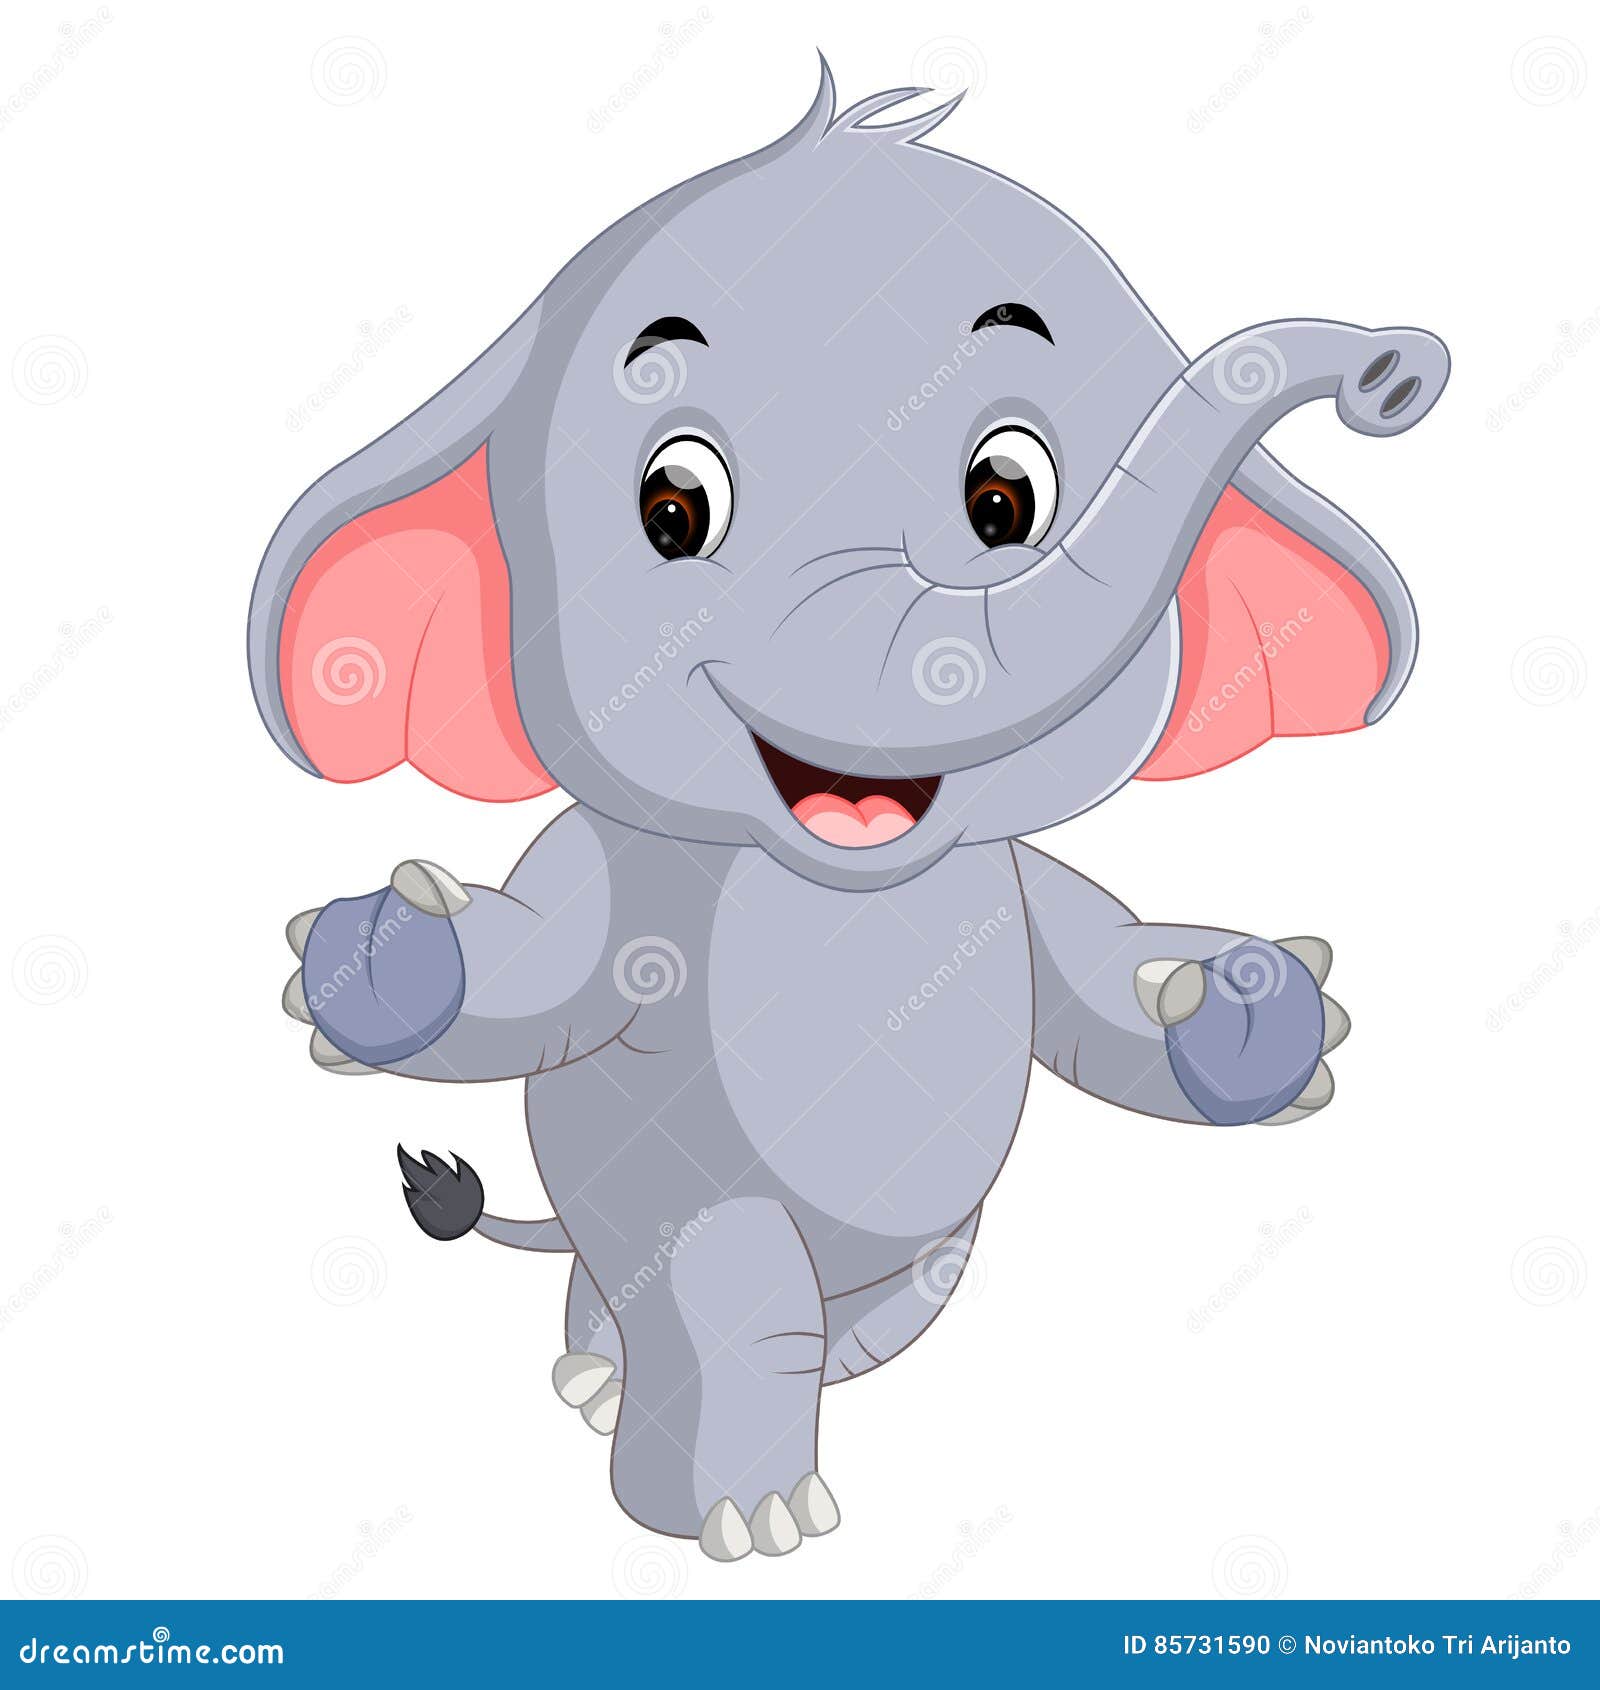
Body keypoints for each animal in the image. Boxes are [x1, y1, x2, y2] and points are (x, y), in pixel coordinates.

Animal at [248, 61, 1448, 1561]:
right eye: (671, 506)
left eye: (1005, 496)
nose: (1395, 373)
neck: (842, 887)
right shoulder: (632, 895)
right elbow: (545, 992)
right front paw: (384, 947)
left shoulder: (1013, 886)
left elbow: (1107, 995)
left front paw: (1249, 1005)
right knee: (735, 1299)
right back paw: (701, 1477)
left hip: (930, 1261)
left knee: (858, 1321)